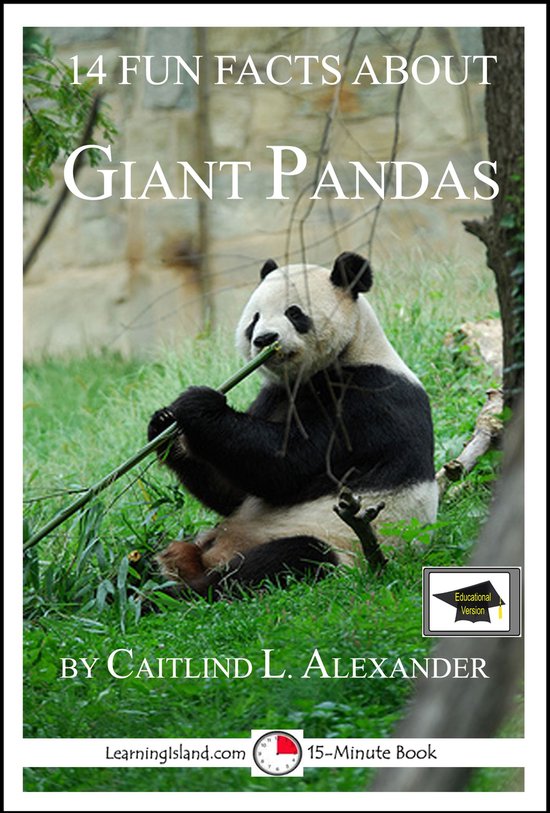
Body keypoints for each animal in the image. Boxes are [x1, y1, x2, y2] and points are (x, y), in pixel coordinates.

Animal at [147, 251, 437, 598]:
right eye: (254, 319)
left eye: (294, 313)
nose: (264, 339)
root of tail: (212, 558)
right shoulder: (273, 396)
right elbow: (233, 490)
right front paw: (163, 426)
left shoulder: (369, 401)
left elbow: (287, 465)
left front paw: (198, 405)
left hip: (338, 542)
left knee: (289, 558)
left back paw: (177, 593)